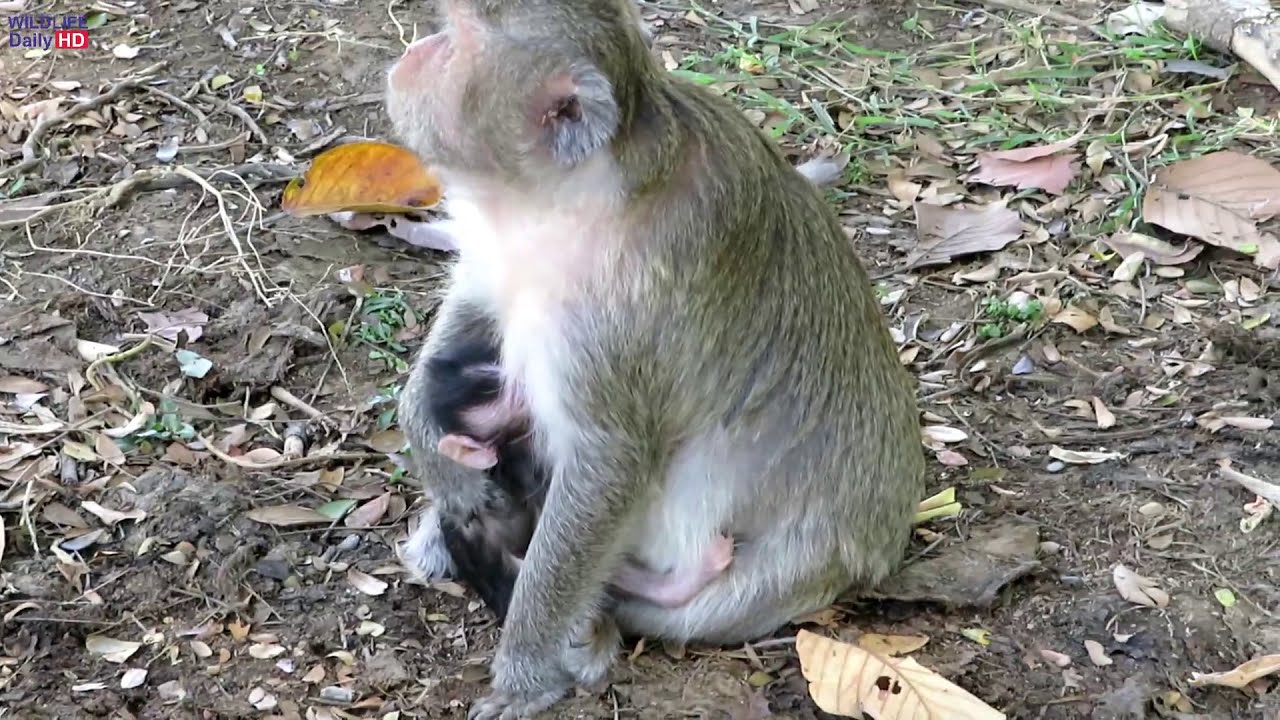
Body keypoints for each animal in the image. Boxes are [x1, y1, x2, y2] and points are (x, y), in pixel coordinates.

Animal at [386, 1, 925, 717]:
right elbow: (474, 306)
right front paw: (437, 452)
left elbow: (608, 462)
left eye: (464, 38)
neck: (560, 193)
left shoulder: (611, 311)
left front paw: (526, 670)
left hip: (786, 572)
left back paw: (595, 625)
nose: (414, 55)